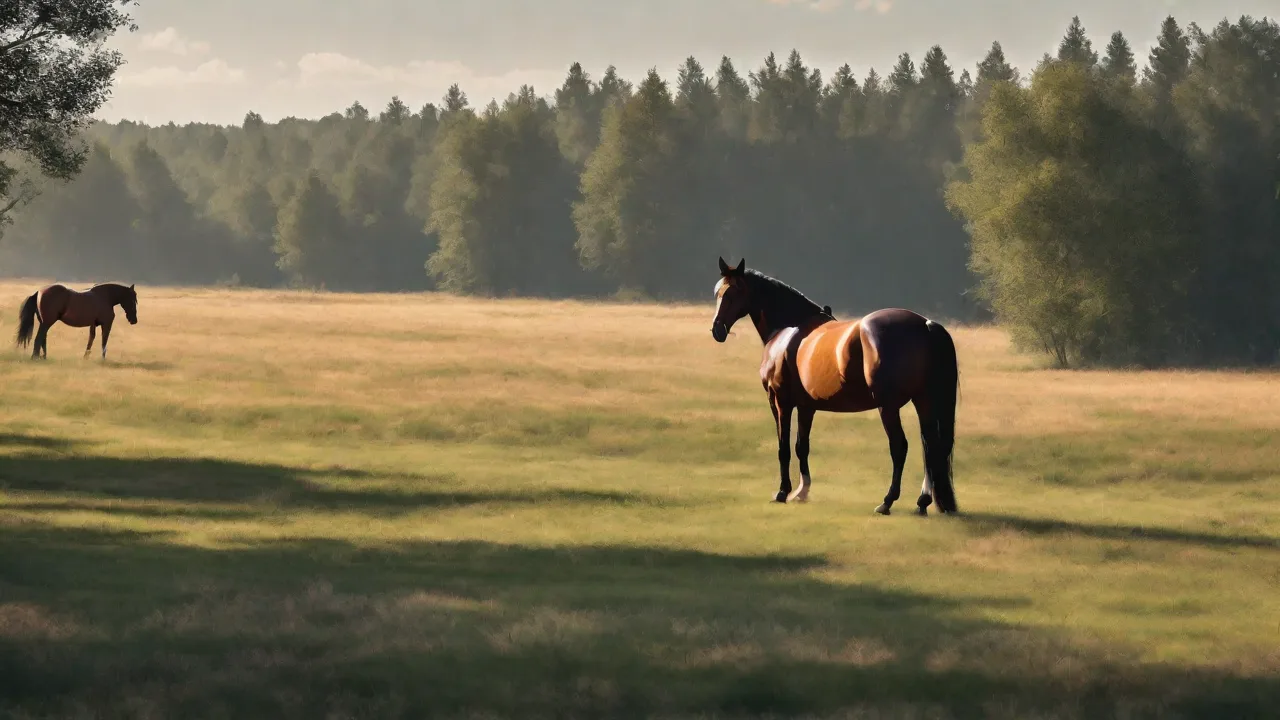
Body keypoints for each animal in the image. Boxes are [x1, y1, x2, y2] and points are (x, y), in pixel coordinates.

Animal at [709, 257, 959, 515]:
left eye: (734, 292)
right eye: (717, 292)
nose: (717, 329)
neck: (787, 329)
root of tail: (926, 325)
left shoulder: (779, 402)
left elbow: (784, 448)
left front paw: (782, 492)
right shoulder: (806, 407)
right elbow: (801, 446)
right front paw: (802, 492)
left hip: (888, 407)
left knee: (900, 447)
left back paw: (887, 502)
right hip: (924, 401)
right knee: (931, 446)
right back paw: (923, 502)